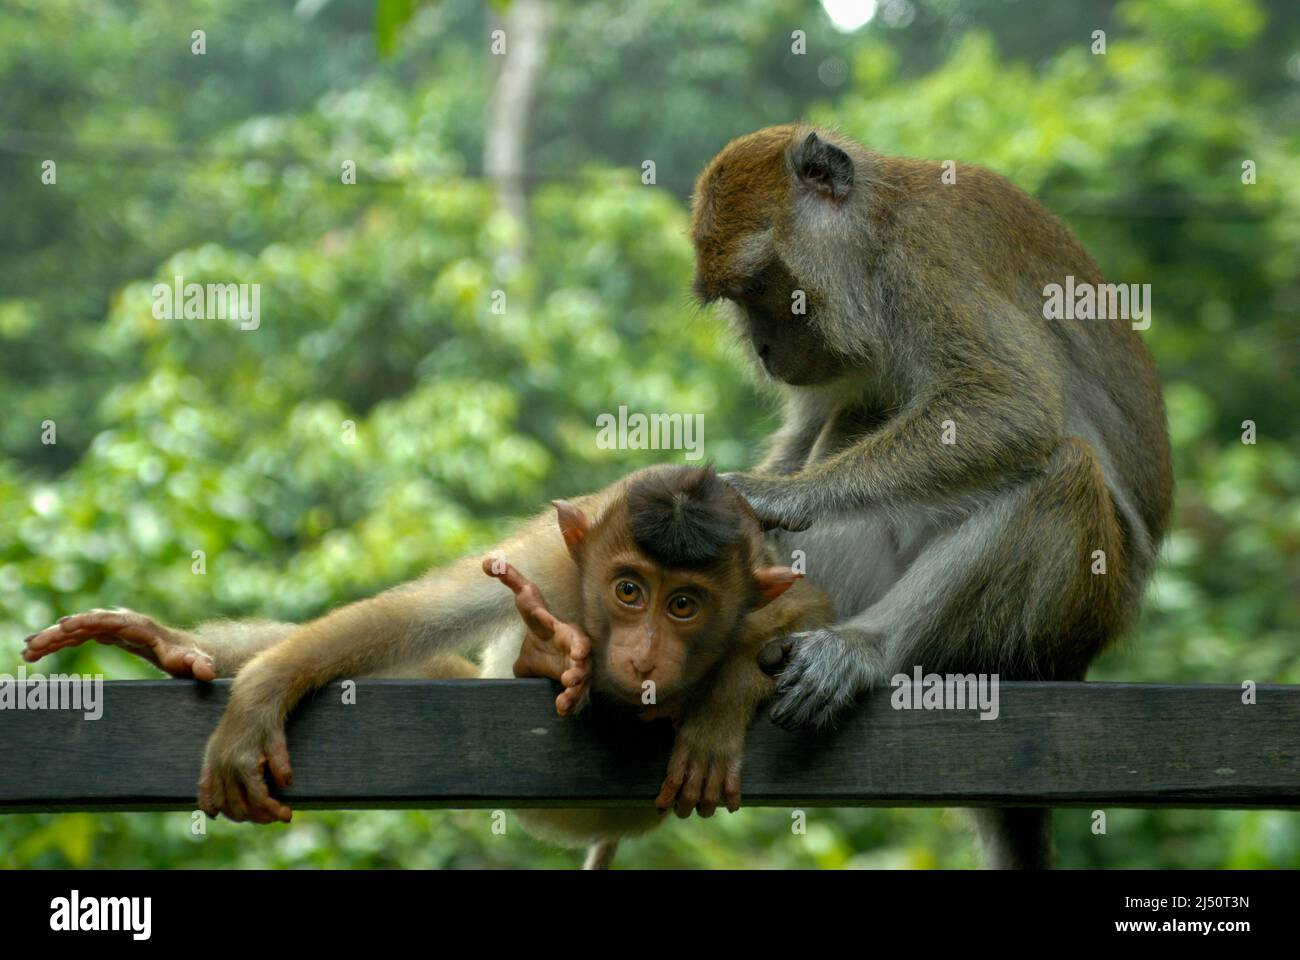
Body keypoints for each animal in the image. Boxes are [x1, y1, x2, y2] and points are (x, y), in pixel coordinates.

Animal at [23, 465, 835, 868]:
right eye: (628, 591)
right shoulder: (549, 558)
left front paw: (717, 719)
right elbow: (413, 617)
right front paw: (257, 699)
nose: (643, 650)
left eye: (685, 605)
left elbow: (809, 610)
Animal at [685, 123, 1173, 868]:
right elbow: (811, 425)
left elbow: (1011, 407)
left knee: (1058, 473)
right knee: (862, 409)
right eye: (739, 300)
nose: (765, 350)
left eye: (762, 285)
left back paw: (864, 648)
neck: (877, 230)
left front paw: (772, 496)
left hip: (1074, 611)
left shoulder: (926, 260)